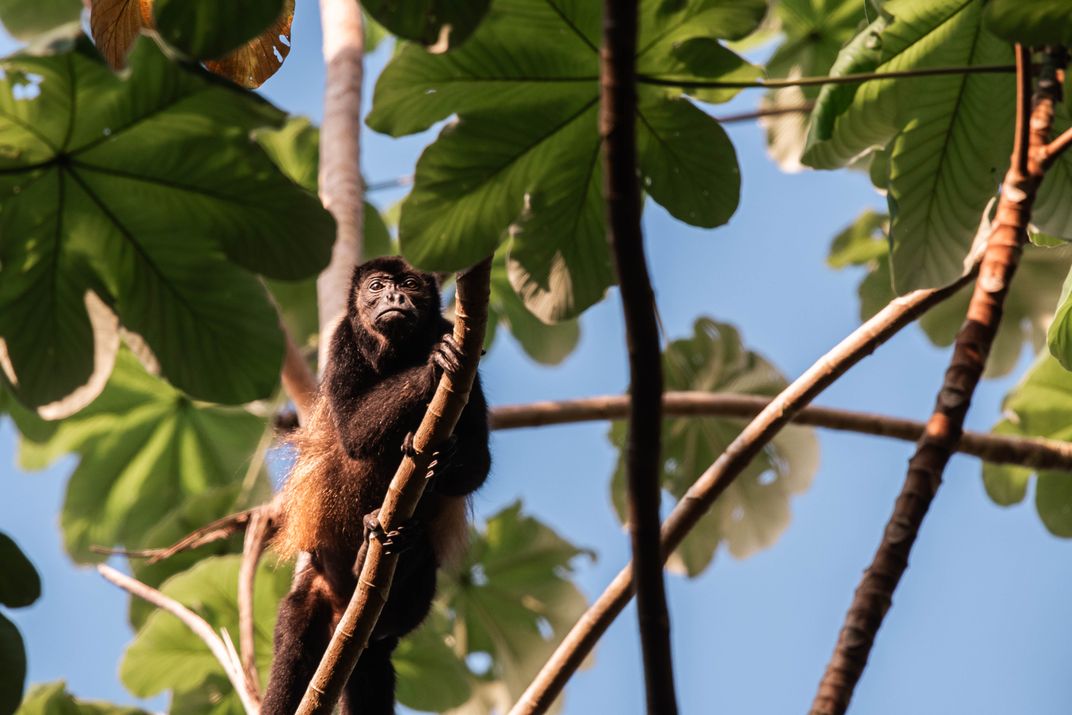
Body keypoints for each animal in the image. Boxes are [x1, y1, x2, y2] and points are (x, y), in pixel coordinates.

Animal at [262, 256, 491, 715]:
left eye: (410, 284)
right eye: (377, 286)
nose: (395, 297)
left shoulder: (468, 360)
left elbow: (481, 460)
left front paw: (446, 457)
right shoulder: (342, 341)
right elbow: (353, 430)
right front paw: (431, 366)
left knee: (379, 648)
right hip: (314, 590)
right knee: (293, 642)